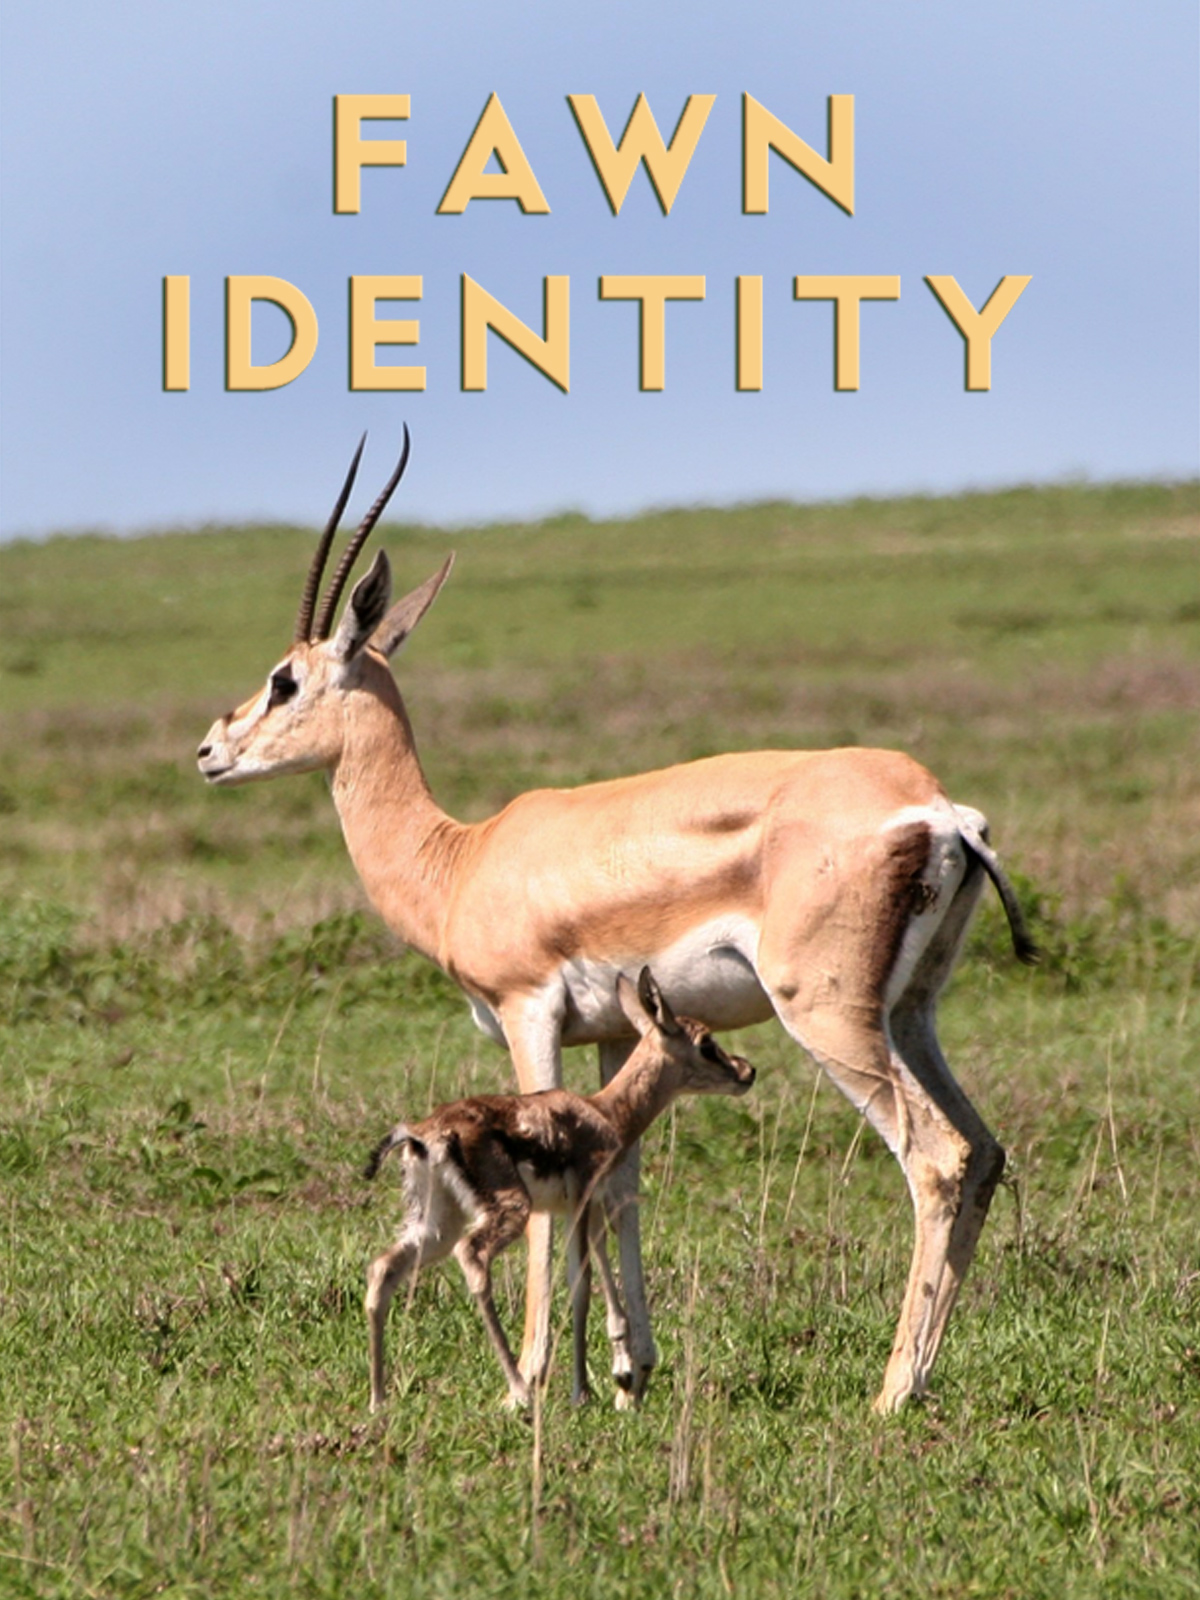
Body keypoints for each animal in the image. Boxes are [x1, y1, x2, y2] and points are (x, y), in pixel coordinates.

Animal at [363, 966, 755, 1411]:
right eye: (706, 1043)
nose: (746, 1072)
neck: (605, 1114)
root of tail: (422, 1134)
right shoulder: (581, 1201)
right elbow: (579, 1286)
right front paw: (583, 1391)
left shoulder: (577, 1209)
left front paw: (620, 1377)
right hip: (506, 1211)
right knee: (471, 1255)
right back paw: (520, 1392)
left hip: (438, 1222)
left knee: (383, 1267)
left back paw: (378, 1400)